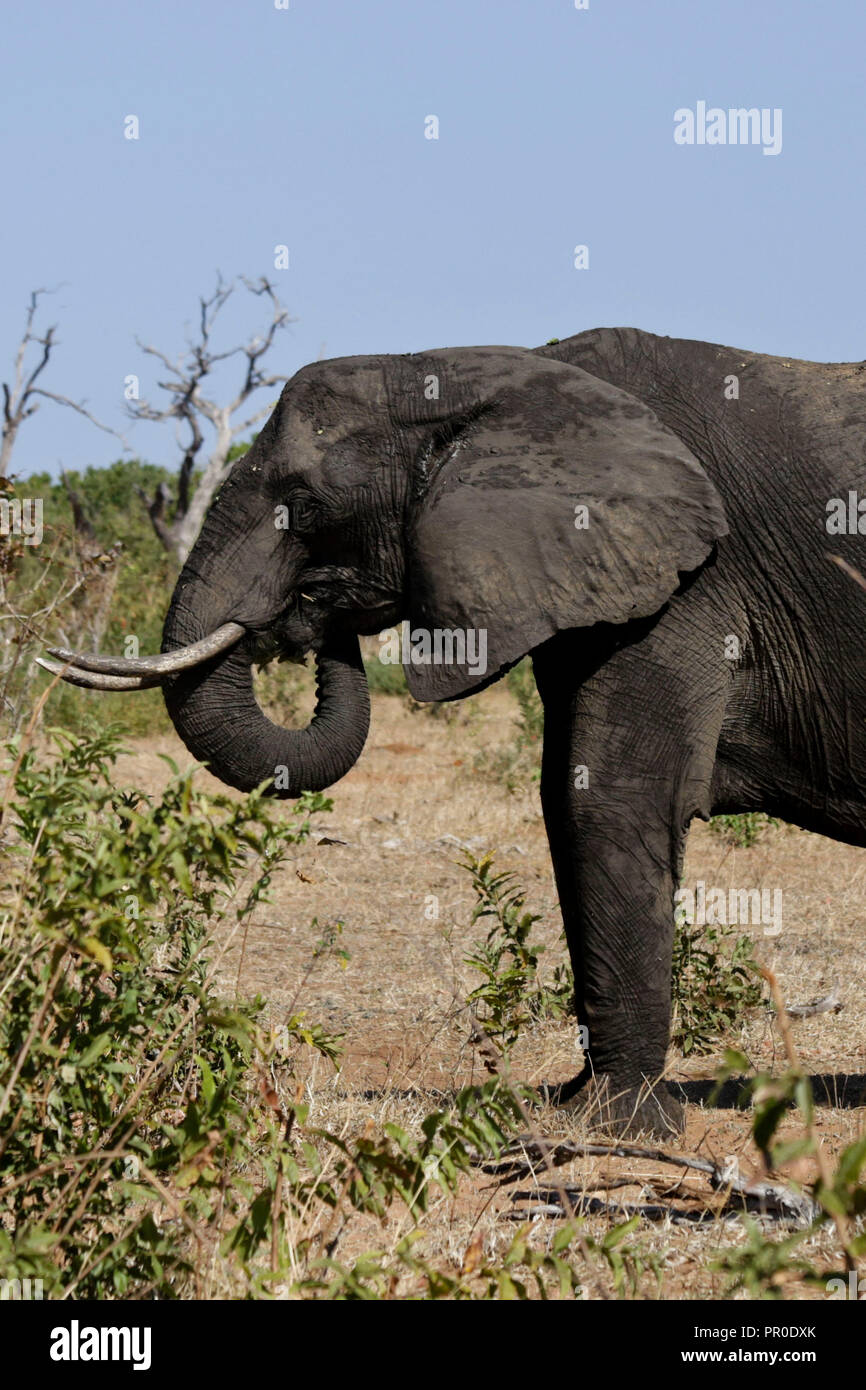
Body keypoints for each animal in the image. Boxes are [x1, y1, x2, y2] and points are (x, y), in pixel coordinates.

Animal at [43, 326, 866, 1137]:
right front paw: (574, 1102)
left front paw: (612, 1126)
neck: (473, 376)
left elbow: (608, 801)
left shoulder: (684, 584)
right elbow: (563, 798)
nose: (314, 611)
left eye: (304, 507)